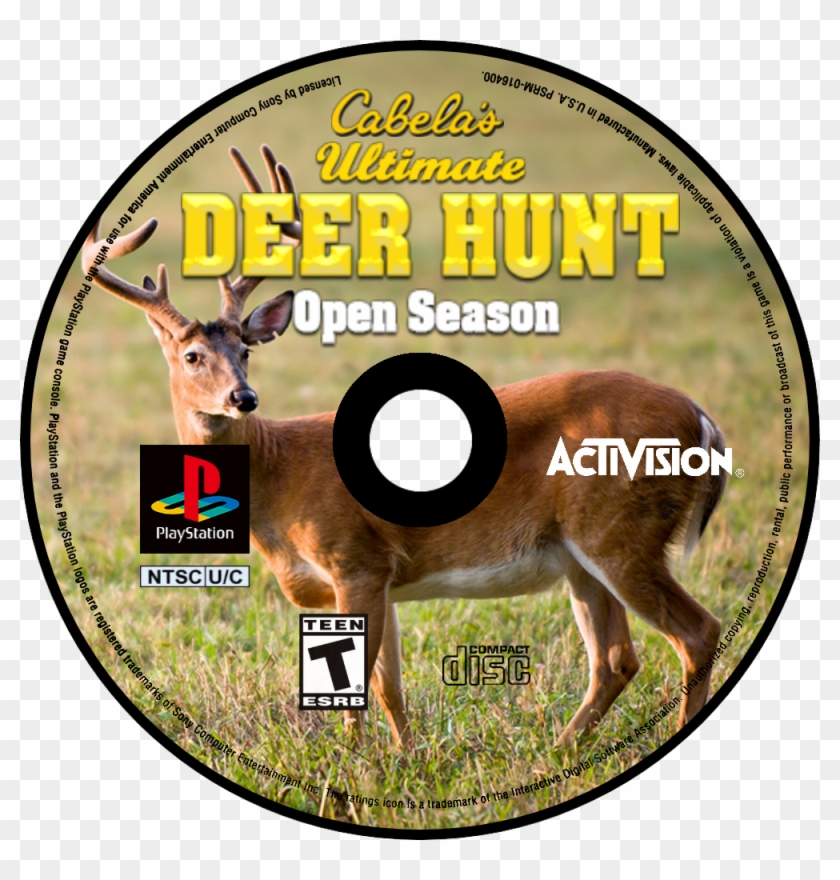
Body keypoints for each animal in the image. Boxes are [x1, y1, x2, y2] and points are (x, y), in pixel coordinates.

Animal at [82, 143, 727, 753]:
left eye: (245, 350)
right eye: (192, 356)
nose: (243, 397)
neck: (278, 477)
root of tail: (703, 421)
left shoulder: (355, 558)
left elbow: (356, 686)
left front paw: (353, 763)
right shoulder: (380, 578)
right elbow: (390, 686)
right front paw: (404, 759)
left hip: (620, 530)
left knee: (696, 632)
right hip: (581, 555)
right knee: (617, 659)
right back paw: (559, 751)